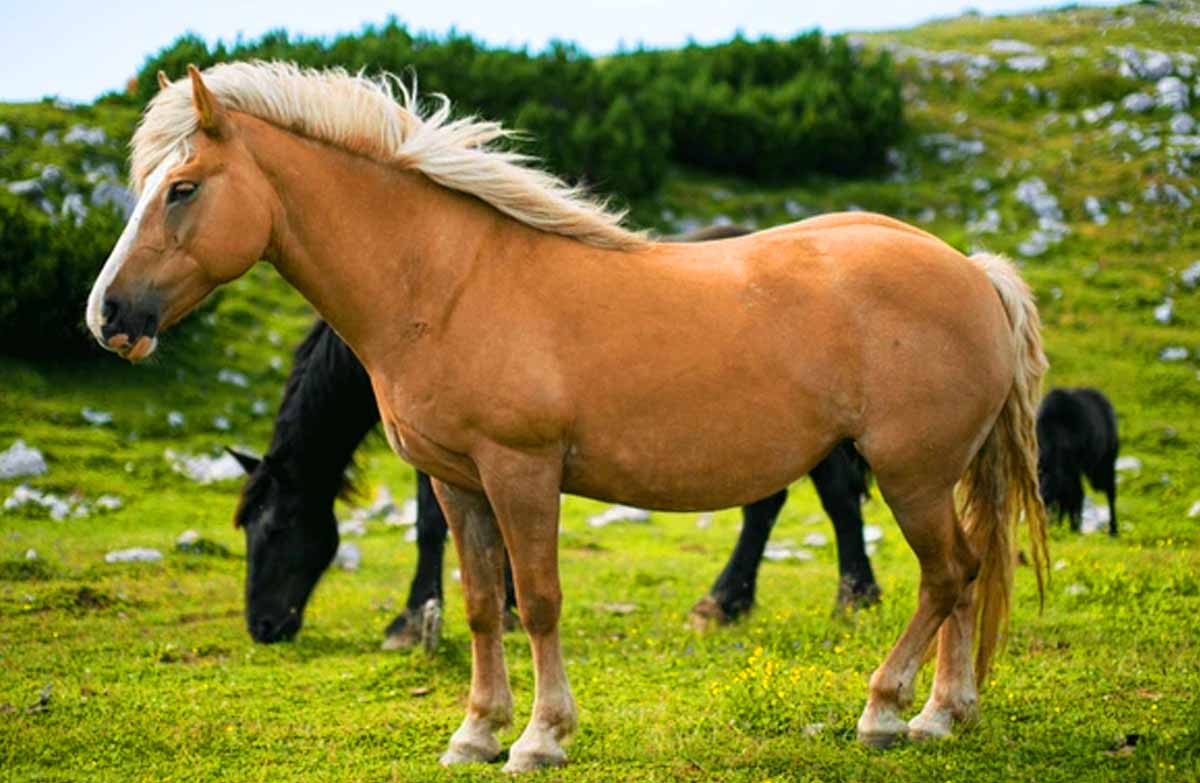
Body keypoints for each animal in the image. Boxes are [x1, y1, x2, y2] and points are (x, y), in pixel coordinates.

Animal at [229, 224, 878, 649]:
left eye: (278, 527)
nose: (262, 628)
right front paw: (509, 604)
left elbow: (430, 525)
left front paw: (412, 621)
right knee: (772, 503)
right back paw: (729, 604)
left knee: (834, 498)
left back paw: (849, 599)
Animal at [1036, 387, 1119, 536]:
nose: (1047, 523)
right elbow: (1066, 500)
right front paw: (1062, 526)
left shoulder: (1071, 470)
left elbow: (1074, 497)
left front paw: (1073, 528)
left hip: (1103, 466)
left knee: (1110, 491)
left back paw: (1113, 530)